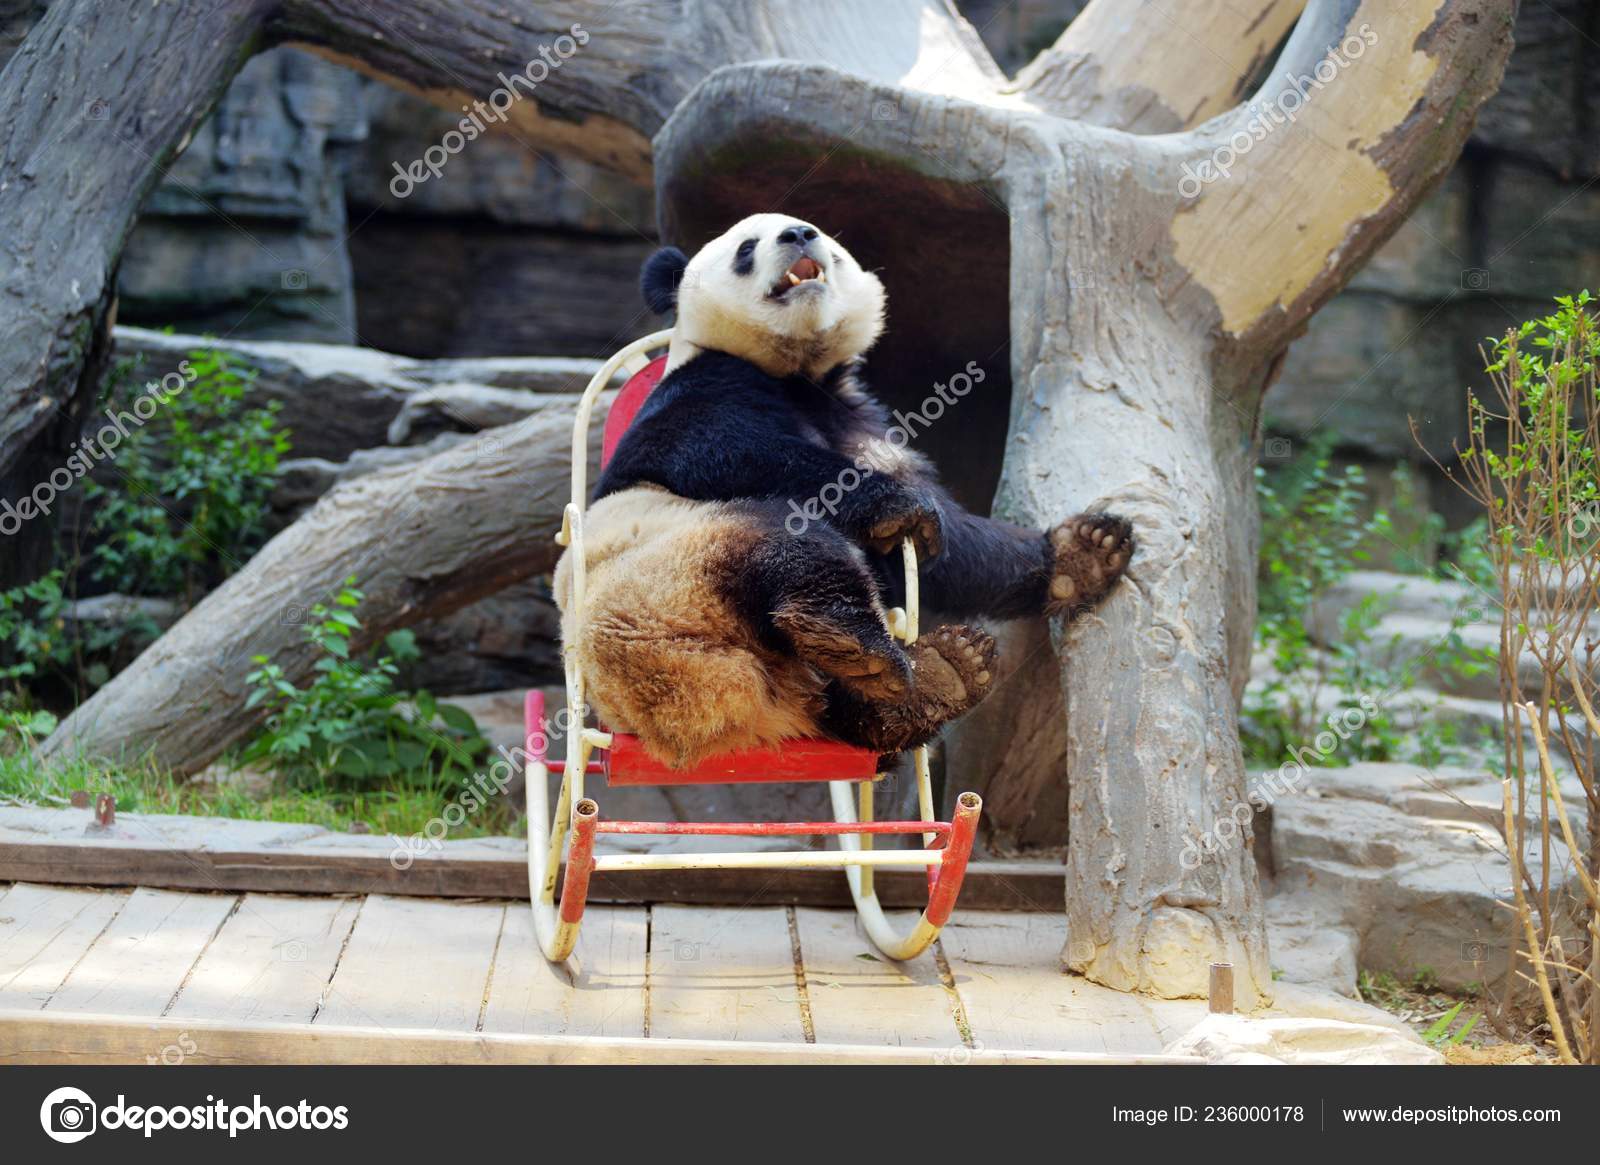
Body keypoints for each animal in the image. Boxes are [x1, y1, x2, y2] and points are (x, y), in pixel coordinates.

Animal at [554, 214, 1133, 768]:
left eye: (827, 242)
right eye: (746, 248)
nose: (797, 235)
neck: (799, 373)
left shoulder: (858, 418)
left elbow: (949, 552)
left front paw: (1082, 554)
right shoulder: (704, 384)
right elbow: (719, 446)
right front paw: (896, 507)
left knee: (847, 707)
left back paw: (936, 679)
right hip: (671, 567)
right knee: (794, 546)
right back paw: (856, 639)